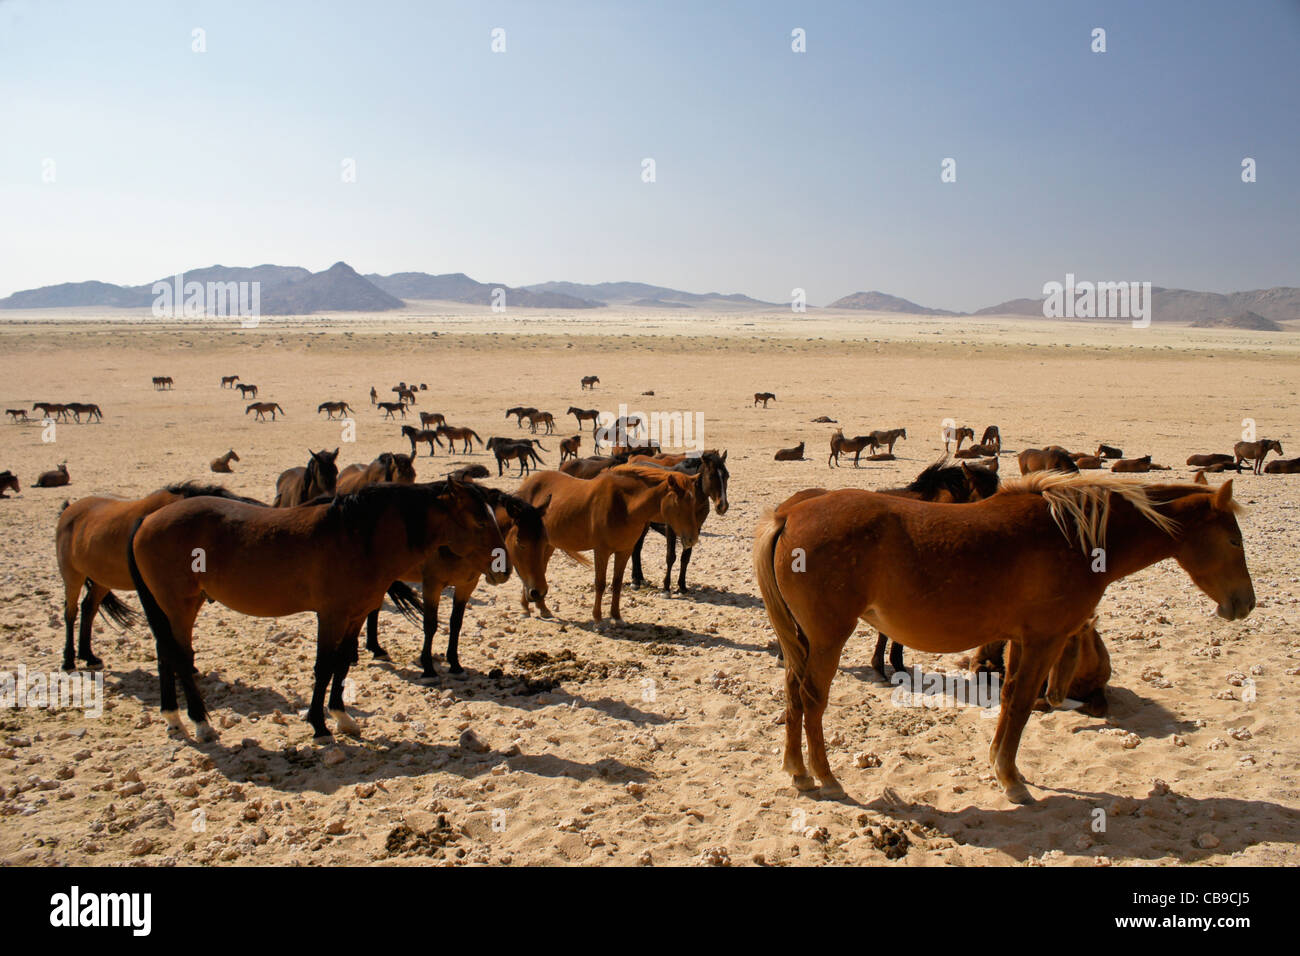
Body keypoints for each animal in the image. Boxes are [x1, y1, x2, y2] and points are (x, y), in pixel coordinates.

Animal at [55, 482, 265, 671]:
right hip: (73, 575)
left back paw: (88, 656)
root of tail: (68, 510)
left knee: (88, 608)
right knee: (70, 612)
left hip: (102, 580)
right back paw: (69, 660)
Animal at [126, 480, 500, 740]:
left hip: (175, 606)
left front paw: (342, 716)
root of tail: (147, 518)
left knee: (165, 653)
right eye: (480, 522)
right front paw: (319, 724)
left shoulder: (356, 614)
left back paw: (173, 718)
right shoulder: (331, 615)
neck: (359, 536)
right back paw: (202, 723)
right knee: (179, 656)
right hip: (178, 604)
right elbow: (324, 666)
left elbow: (341, 663)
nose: (500, 568)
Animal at [515, 465, 705, 621]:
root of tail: (526, 483)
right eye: (678, 504)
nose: (692, 539)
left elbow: (617, 583)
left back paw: (541, 608)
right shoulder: (602, 551)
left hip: (548, 545)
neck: (624, 505)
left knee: (538, 569)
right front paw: (597, 618)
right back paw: (526, 608)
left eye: (693, 502)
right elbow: (600, 583)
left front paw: (616, 616)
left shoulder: (624, 551)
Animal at [629, 450, 729, 593]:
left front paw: (682, 586)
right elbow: (671, 557)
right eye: (711, 476)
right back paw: (635, 581)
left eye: (727, 476)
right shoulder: (671, 527)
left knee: (637, 548)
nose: (723, 506)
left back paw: (640, 578)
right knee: (636, 548)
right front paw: (666, 588)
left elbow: (685, 557)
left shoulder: (695, 529)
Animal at [753, 473, 1253, 802]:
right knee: (813, 699)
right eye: (1233, 541)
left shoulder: (1019, 641)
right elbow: (1021, 704)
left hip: (804, 640)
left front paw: (1000, 765)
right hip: (829, 637)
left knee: (794, 695)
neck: (1073, 538)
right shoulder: (1043, 640)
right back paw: (825, 775)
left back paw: (798, 772)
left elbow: (1014, 698)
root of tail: (791, 511)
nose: (1245, 603)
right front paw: (1011, 778)